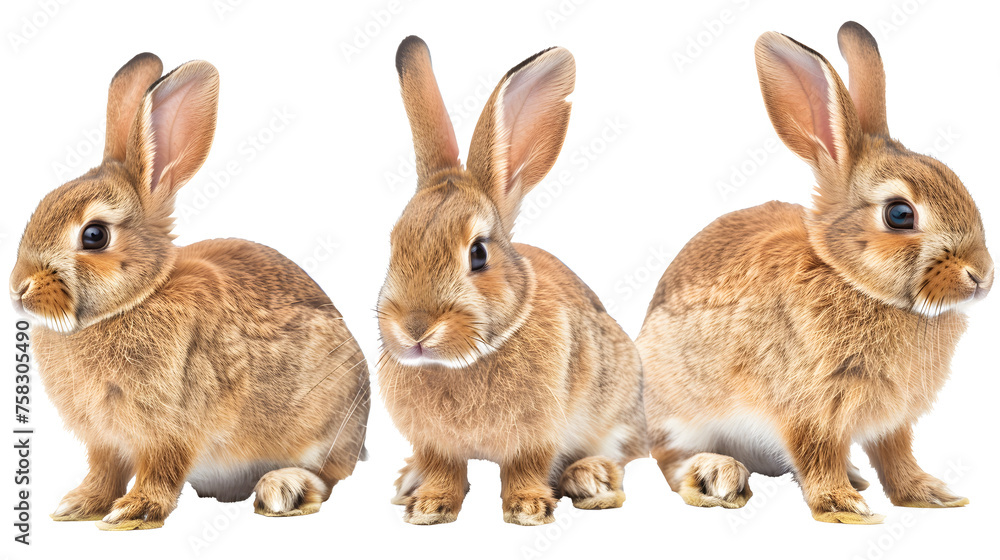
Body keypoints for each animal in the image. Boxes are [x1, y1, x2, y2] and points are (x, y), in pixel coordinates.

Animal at [8, 53, 370, 530]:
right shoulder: (103, 440)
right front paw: (80, 505)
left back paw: (283, 488)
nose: (18, 288)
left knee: (327, 476)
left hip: (327, 423)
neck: (137, 299)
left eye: (94, 236)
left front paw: (134, 512)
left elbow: (161, 470)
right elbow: (104, 471)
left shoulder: (173, 428)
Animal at [376, 36, 647, 526]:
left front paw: (528, 509)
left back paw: (590, 478)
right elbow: (443, 469)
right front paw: (430, 506)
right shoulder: (435, 445)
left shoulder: (538, 433)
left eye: (478, 253)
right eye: (393, 246)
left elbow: (526, 467)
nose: (415, 328)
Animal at [636, 21, 993, 524]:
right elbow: (817, 453)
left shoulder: (892, 420)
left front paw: (929, 494)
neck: (850, 278)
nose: (981, 275)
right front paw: (844, 508)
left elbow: (896, 455)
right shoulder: (809, 408)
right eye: (900, 215)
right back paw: (715, 474)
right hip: (679, 410)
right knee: (670, 458)